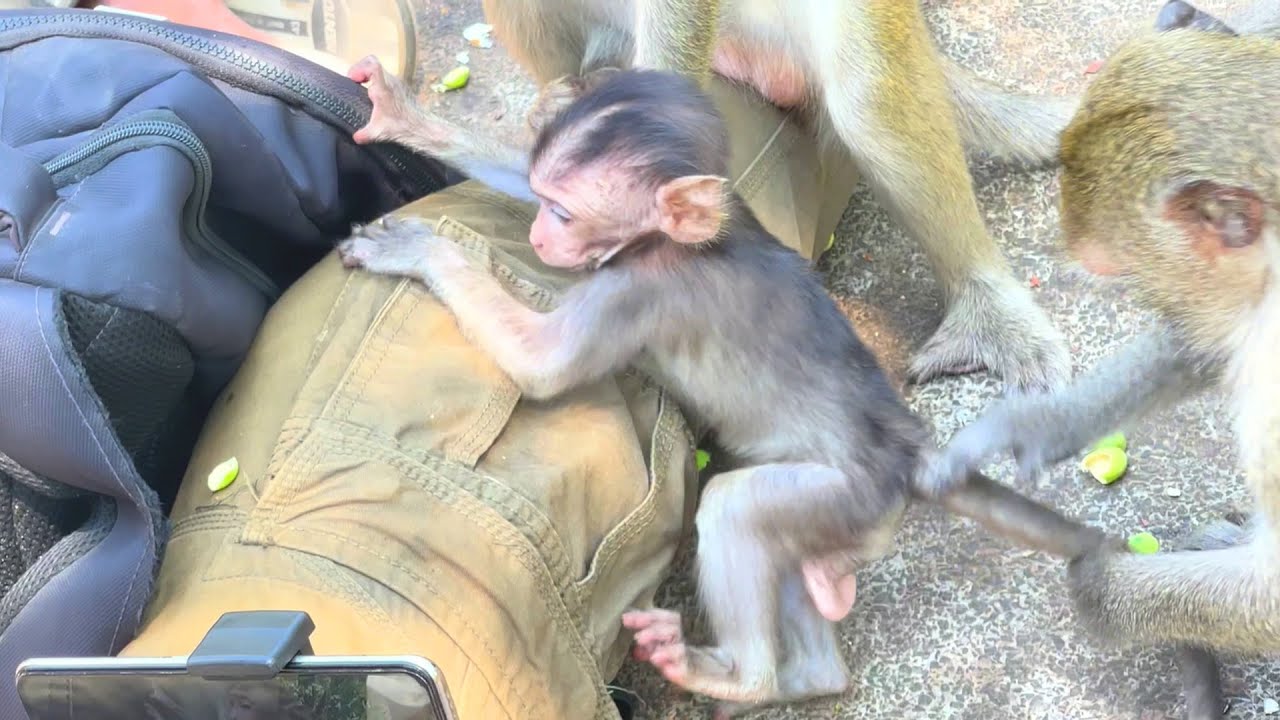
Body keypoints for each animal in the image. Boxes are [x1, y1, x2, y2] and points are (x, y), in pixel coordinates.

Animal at [337, 62, 1108, 718]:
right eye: (546, 203)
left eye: (563, 213)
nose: (539, 238)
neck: (674, 240)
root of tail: (908, 450)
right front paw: (407, 117)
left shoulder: (638, 289)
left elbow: (543, 365)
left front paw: (422, 251)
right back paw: (810, 670)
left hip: (843, 493)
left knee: (738, 508)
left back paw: (741, 675)